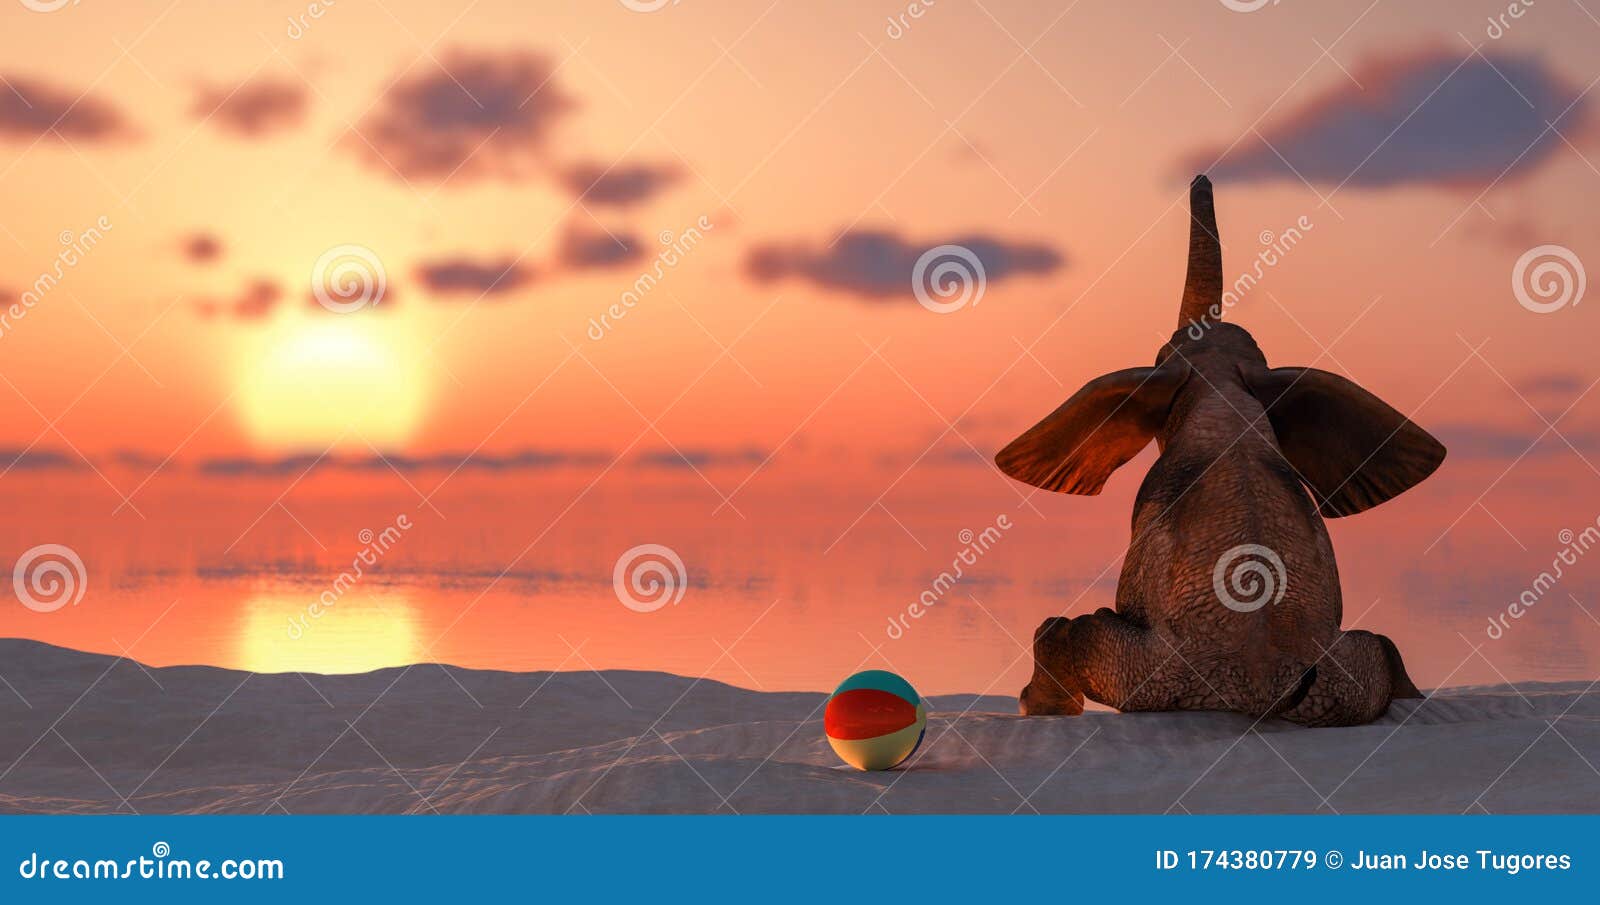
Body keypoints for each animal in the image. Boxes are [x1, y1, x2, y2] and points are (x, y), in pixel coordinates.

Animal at [998, 175, 1444, 727]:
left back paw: (1039, 705)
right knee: (1377, 646)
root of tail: (1269, 680)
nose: (1200, 177)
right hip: (1344, 675)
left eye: (1161, 354)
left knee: (1079, 630)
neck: (1220, 386)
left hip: (1161, 673)